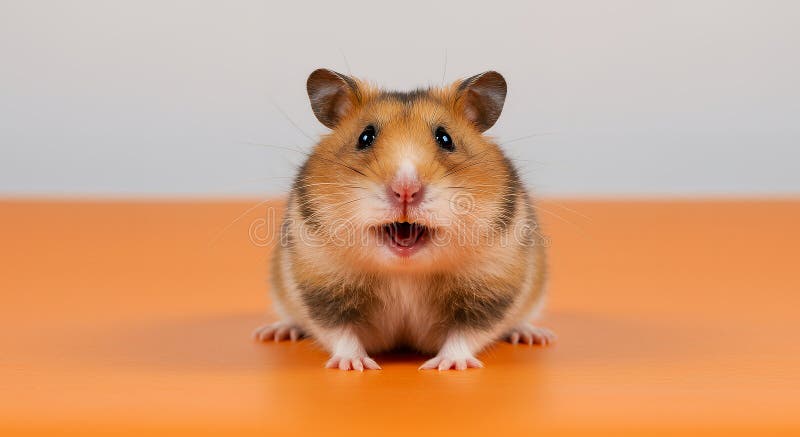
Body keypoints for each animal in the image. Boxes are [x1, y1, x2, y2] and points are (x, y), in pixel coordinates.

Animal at [253, 68, 554, 371]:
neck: (405, 272)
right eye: (365, 137)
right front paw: (353, 365)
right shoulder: (321, 285)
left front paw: (448, 365)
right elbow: (340, 331)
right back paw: (276, 332)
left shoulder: (491, 287)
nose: (406, 189)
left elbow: (466, 333)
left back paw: (533, 336)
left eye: (446, 138)